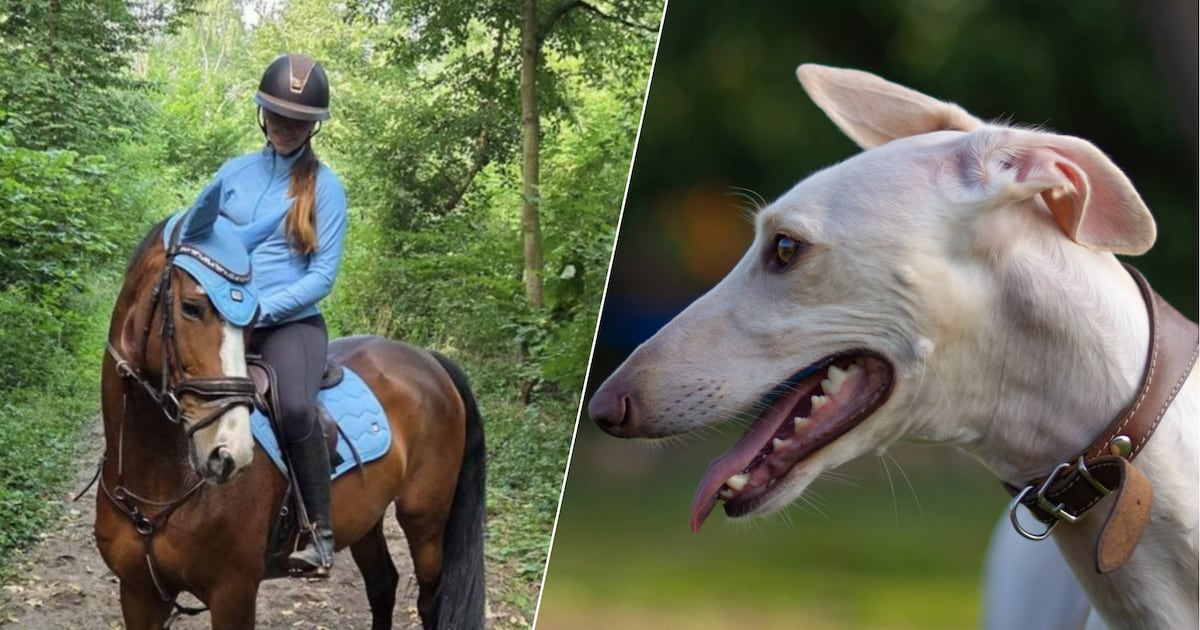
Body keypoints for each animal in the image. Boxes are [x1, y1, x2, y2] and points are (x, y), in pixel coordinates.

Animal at [94, 215, 485, 630]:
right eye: (191, 307)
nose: (230, 452)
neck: (156, 487)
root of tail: (427, 359)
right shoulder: (139, 594)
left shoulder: (233, 594)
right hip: (368, 517)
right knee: (382, 584)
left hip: (425, 520)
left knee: (429, 600)